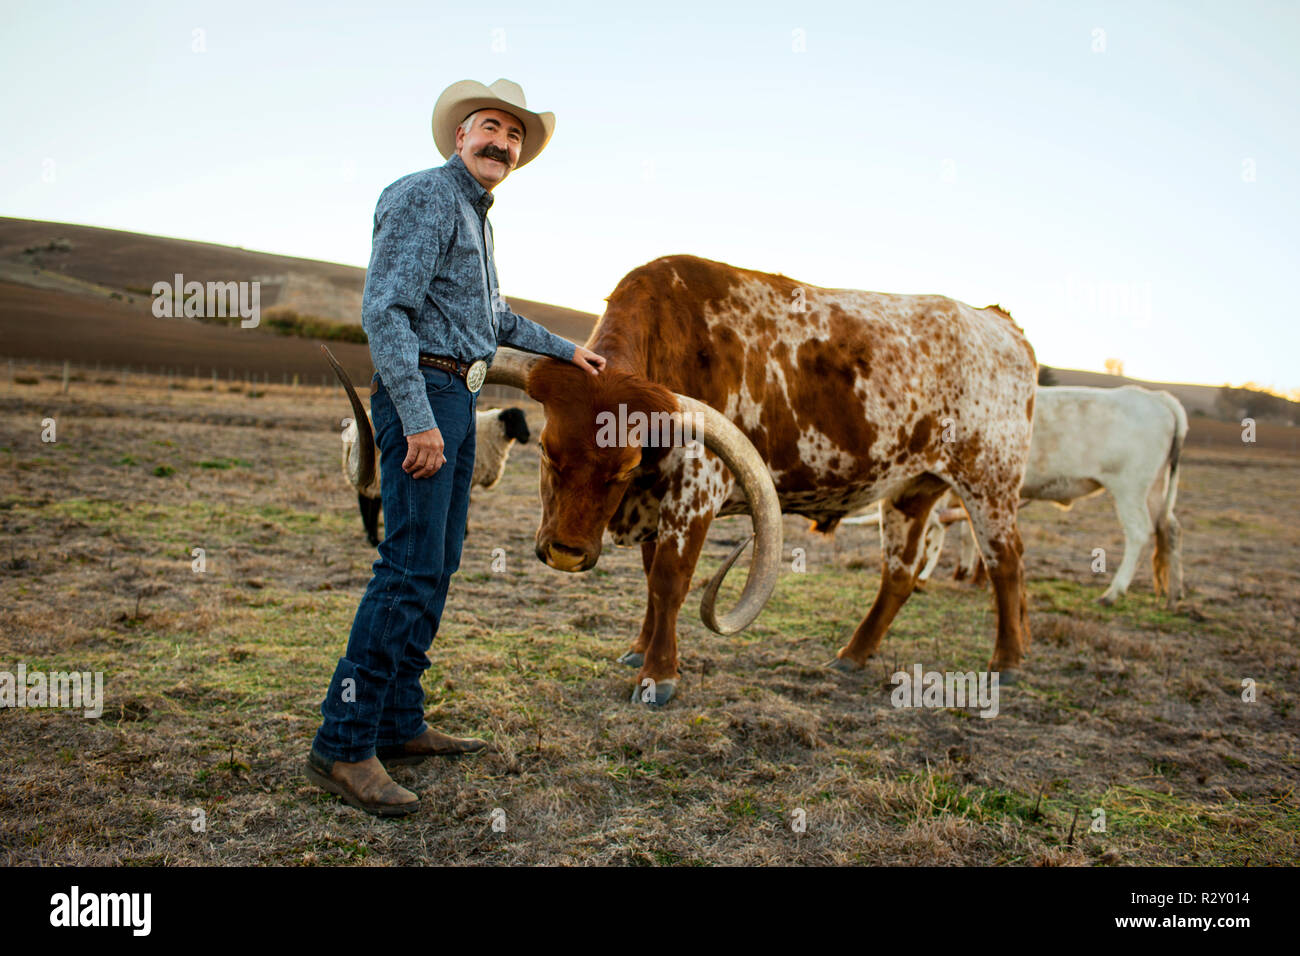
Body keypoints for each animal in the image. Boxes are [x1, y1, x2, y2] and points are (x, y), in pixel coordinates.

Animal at [484, 255, 1039, 706]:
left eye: (622, 466)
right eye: (546, 451)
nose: (565, 552)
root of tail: (998, 320)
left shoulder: (696, 490)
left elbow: (668, 581)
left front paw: (659, 675)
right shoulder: (657, 499)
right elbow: (650, 581)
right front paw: (639, 649)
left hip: (989, 481)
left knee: (1006, 562)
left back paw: (1008, 663)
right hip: (912, 489)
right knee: (899, 573)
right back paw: (853, 654)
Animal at [924, 385, 1187, 607]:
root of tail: (1156, 397)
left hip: (1129, 490)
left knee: (1139, 532)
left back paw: (1112, 592)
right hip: (1156, 491)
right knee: (1169, 529)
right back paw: (1174, 595)